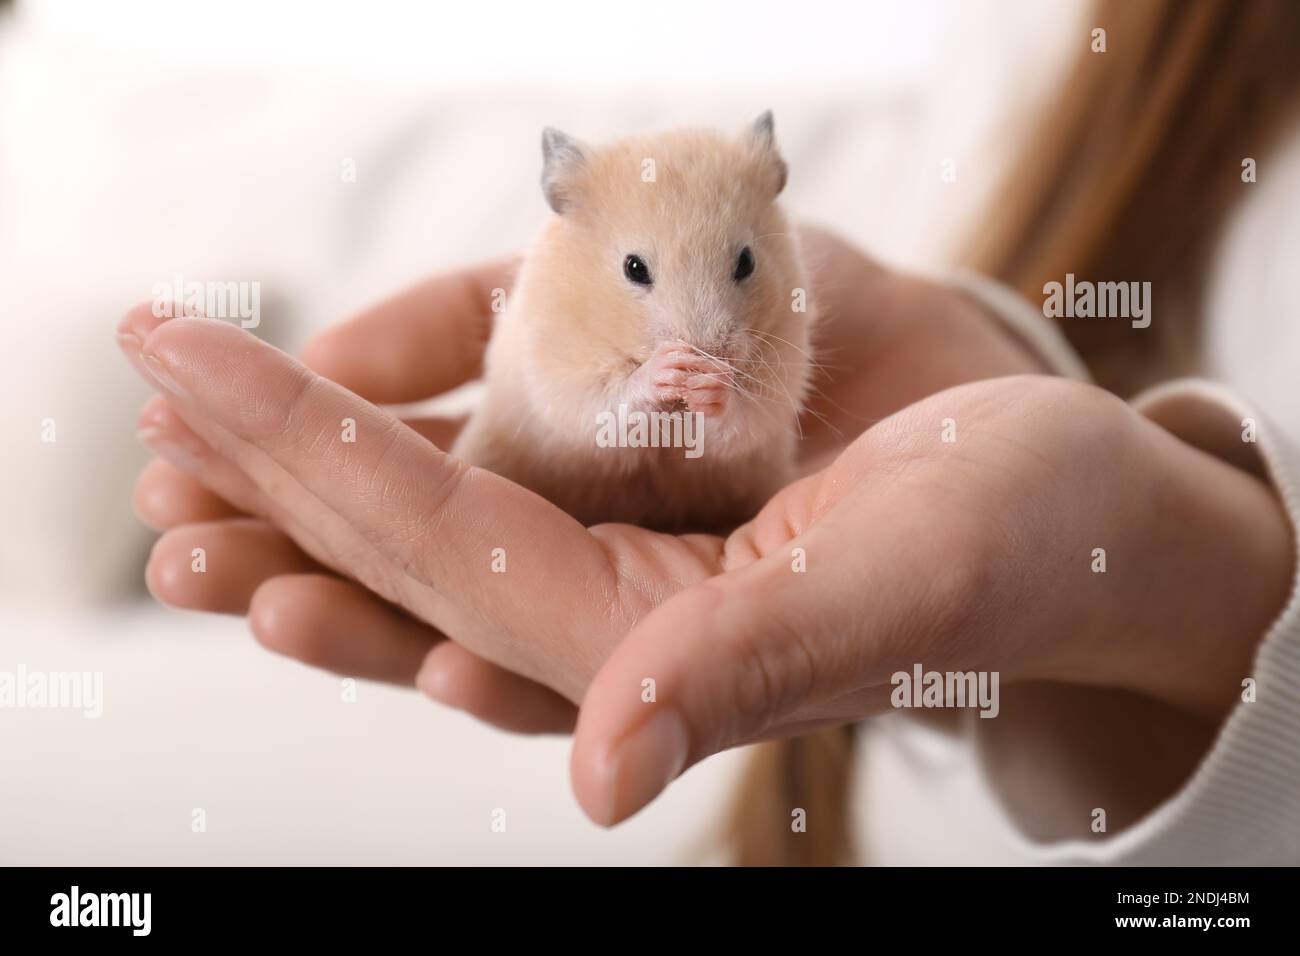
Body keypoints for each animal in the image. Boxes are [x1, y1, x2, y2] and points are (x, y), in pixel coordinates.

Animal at [452, 113, 813, 533]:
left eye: (747, 262)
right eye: (634, 268)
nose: (705, 353)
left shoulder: (783, 367)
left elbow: (743, 419)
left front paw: (711, 383)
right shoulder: (557, 370)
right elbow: (607, 401)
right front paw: (667, 369)